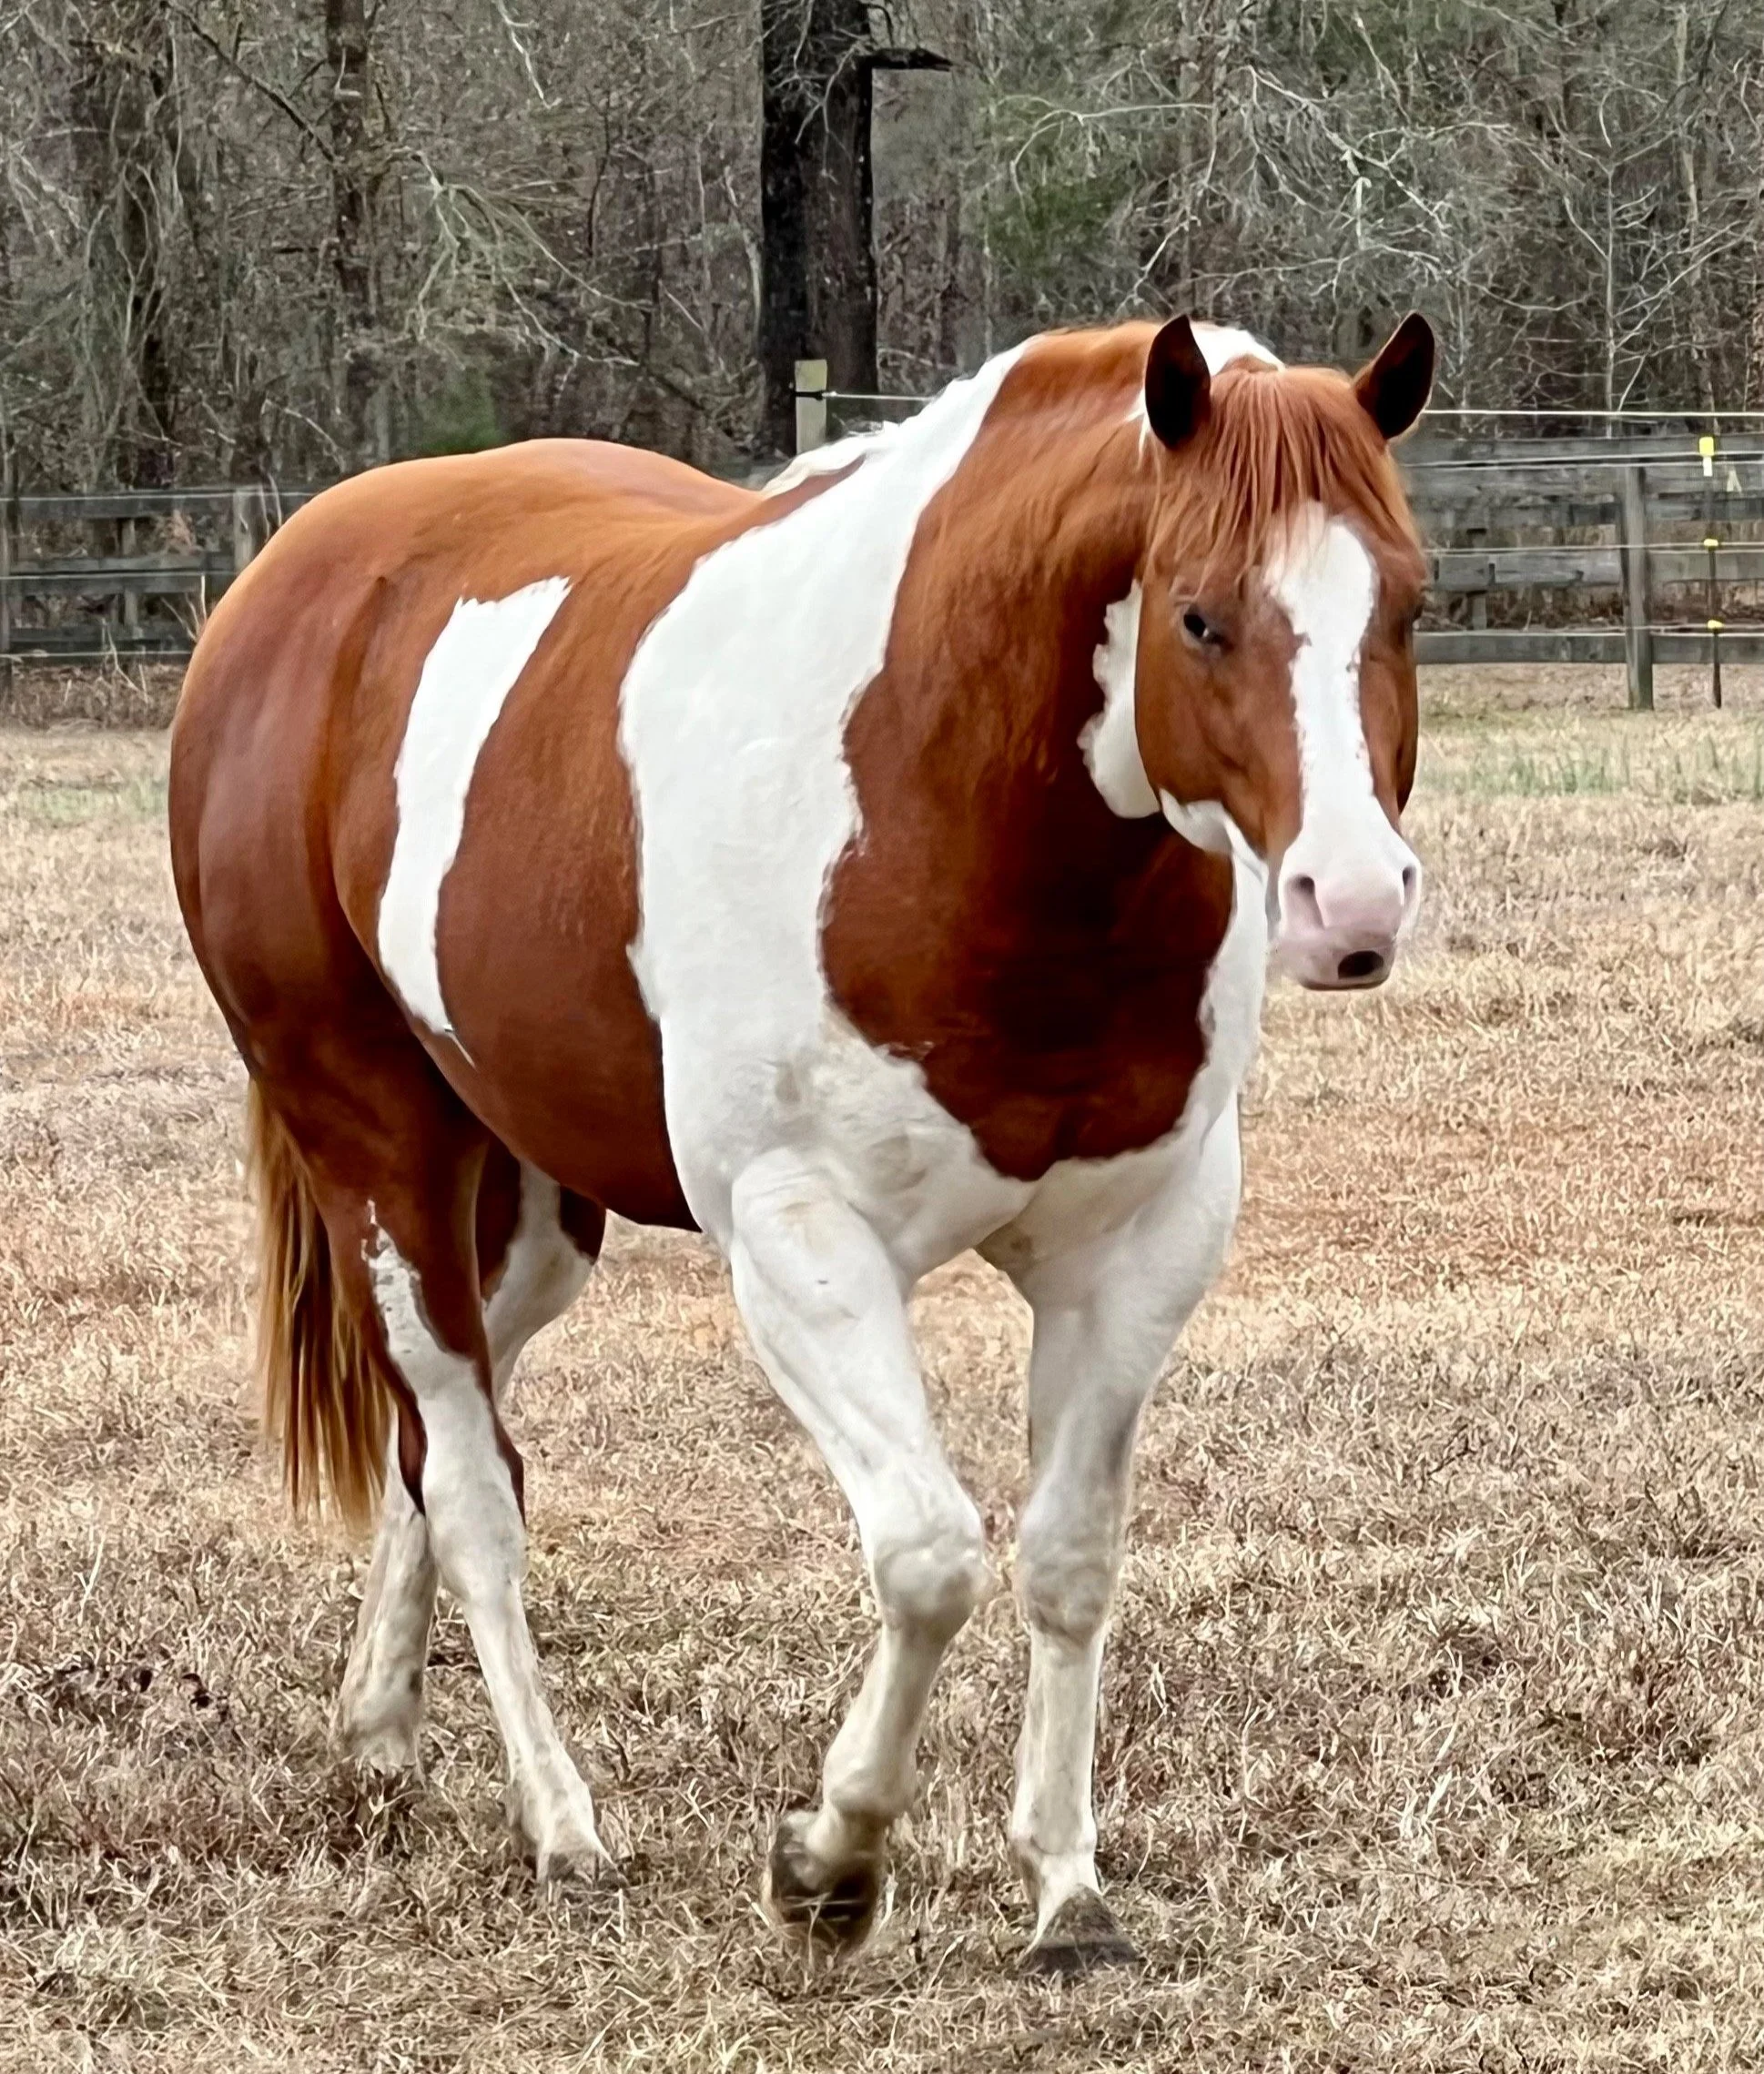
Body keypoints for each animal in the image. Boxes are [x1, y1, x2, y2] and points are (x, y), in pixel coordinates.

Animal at [168, 310, 1433, 1973]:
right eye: (1201, 616)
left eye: (1407, 603)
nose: (1348, 905)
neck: (938, 796)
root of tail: (290, 584)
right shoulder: (800, 1245)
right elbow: (928, 1552)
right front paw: (829, 1856)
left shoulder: (1134, 1250)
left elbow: (1065, 1557)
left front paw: (1066, 1885)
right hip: (373, 1142)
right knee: (472, 1477)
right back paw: (561, 1823)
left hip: (529, 1210)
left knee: (434, 1444)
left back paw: (379, 1733)